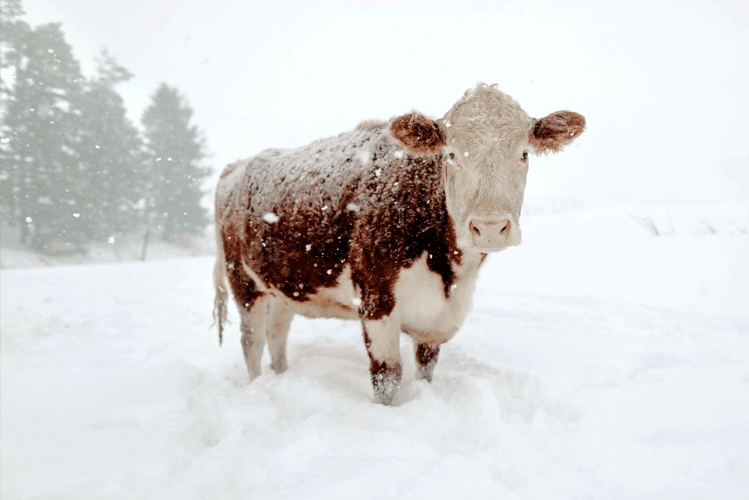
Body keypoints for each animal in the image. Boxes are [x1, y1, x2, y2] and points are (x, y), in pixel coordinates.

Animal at [213, 83, 585, 405]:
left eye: (524, 154)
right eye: (451, 154)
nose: (490, 227)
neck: (448, 272)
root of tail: (237, 166)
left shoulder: (437, 318)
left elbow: (426, 369)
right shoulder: (376, 298)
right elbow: (387, 376)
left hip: (283, 285)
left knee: (277, 334)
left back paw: (282, 378)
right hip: (243, 281)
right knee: (252, 341)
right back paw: (256, 386)